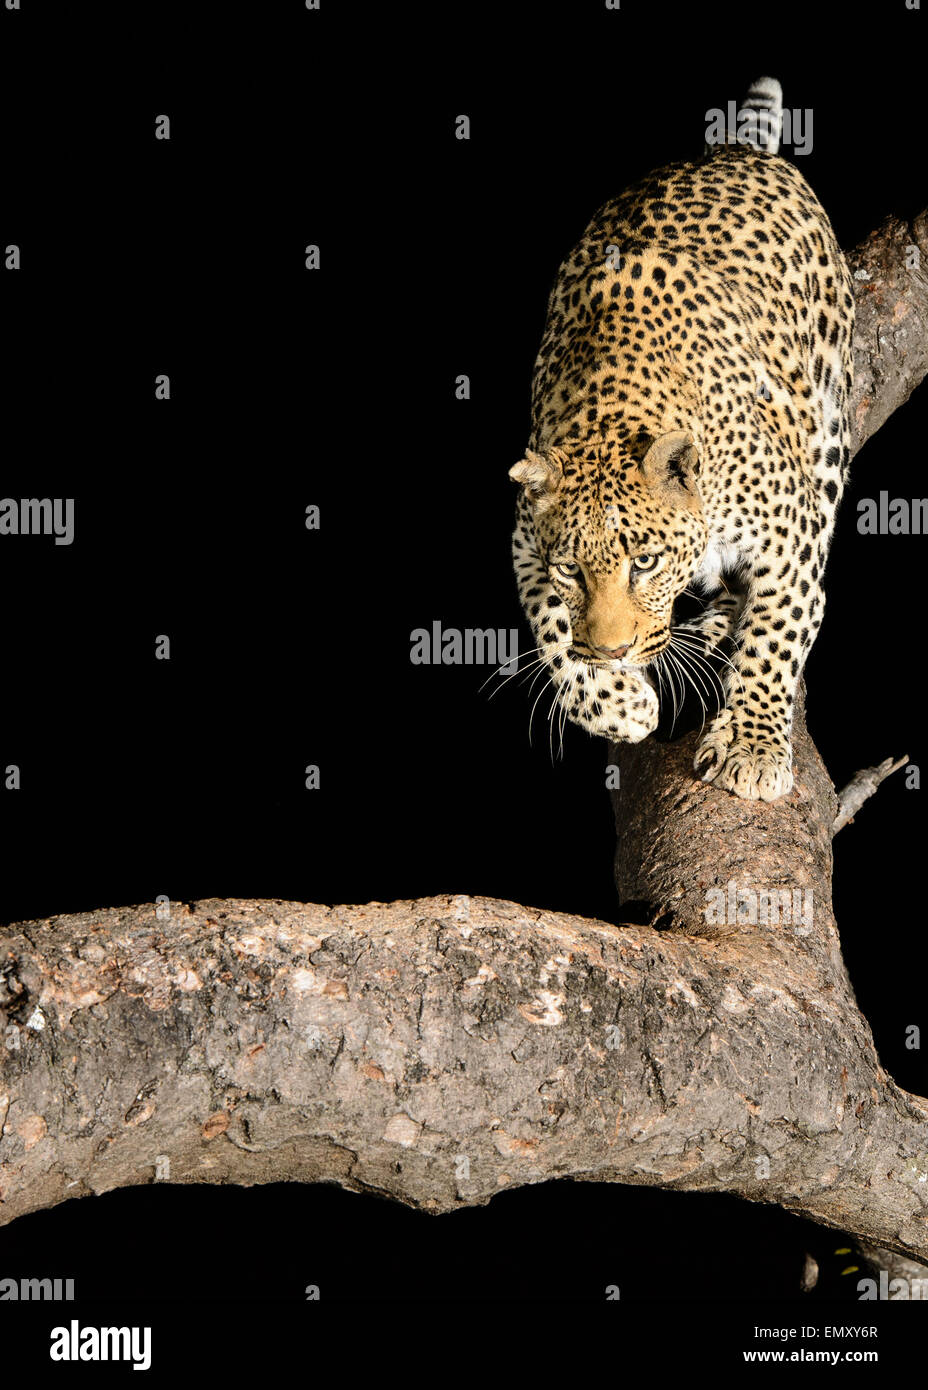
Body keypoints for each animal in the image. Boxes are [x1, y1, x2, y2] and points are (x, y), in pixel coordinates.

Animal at [509, 77, 854, 802]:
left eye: (645, 562)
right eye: (572, 569)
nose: (614, 651)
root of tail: (732, 152)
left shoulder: (790, 529)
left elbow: (779, 628)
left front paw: (752, 745)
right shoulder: (526, 541)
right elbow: (551, 629)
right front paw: (616, 702)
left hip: (826, 419)